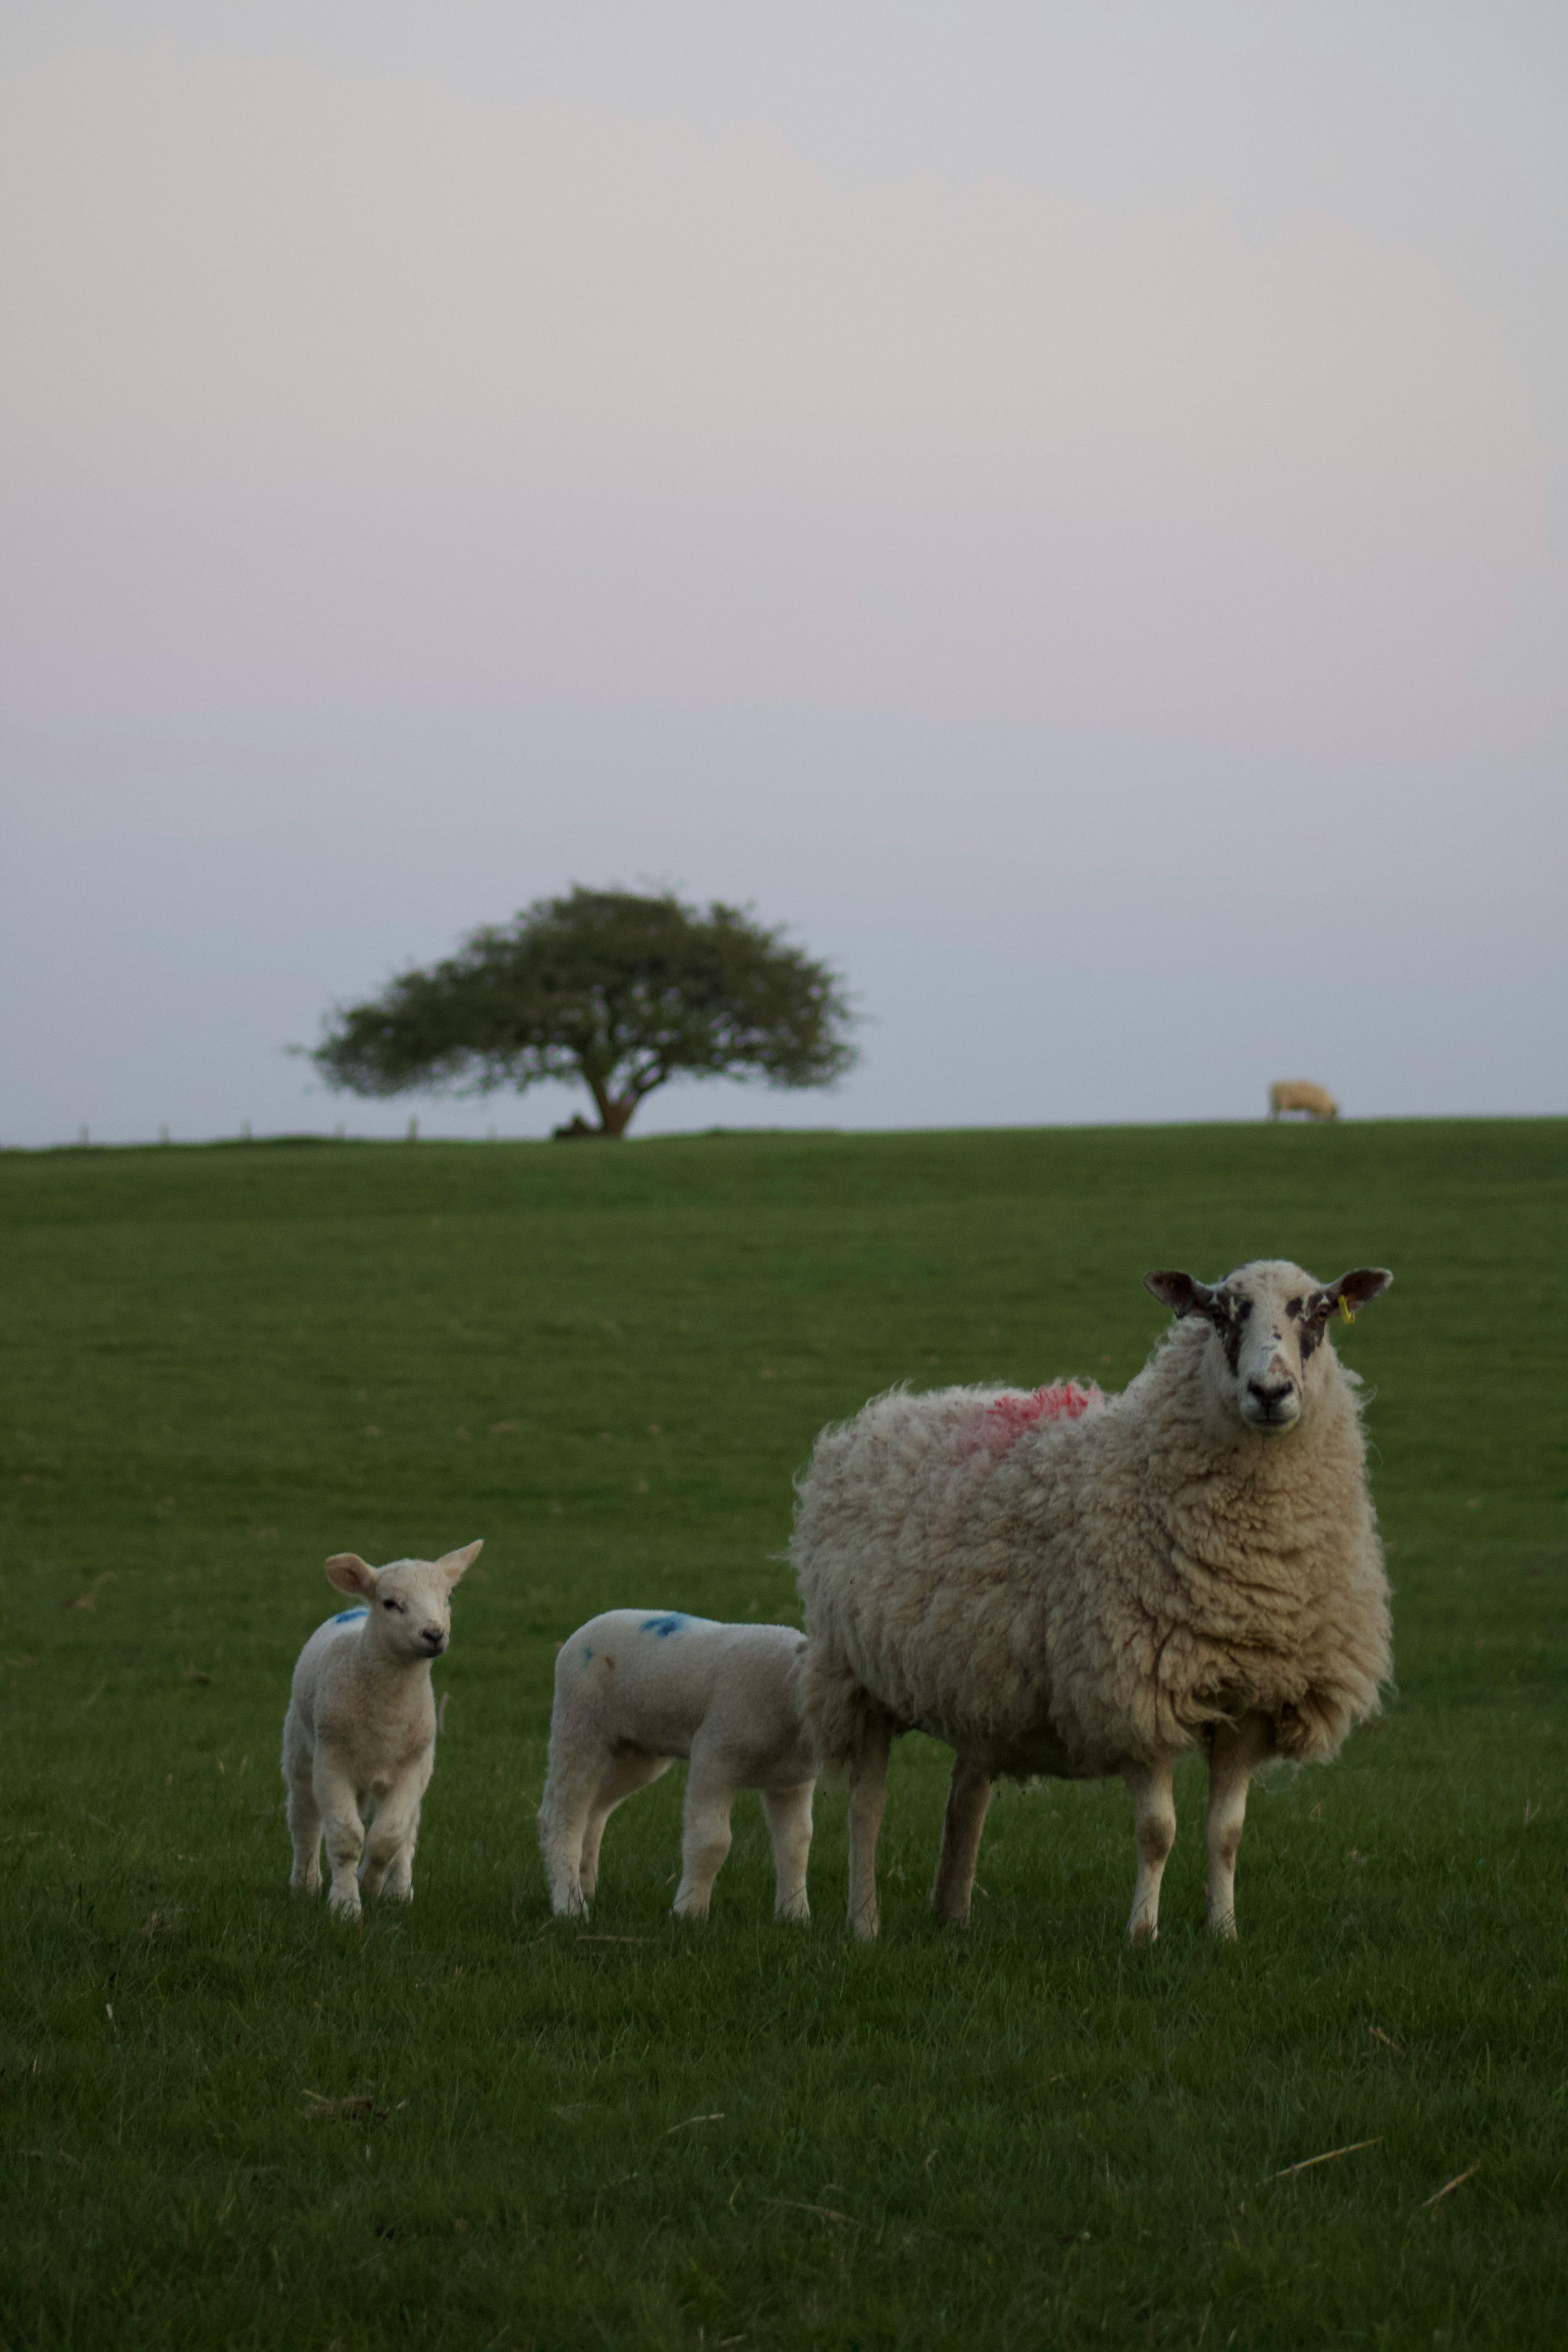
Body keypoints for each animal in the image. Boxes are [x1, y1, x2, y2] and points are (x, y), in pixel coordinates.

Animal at [282, 1540, 482, 1916]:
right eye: (391, 1603)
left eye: (448, 1597)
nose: (435, 1634)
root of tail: (355, 1611)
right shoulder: (332, 1764)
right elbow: (346, 1837)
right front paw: (345, 1905)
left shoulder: (411, 1767)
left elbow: (388, 1836)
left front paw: (369, 1885)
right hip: (300, 1750)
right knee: (304, 1819)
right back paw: (305, 1882)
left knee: (408, 1831)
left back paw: (400, 1891)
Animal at [538, 1611, 816, 1923]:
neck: (786, 1680)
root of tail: (585, 1629)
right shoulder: (713, 1756)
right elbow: (712, 1841)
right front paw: (690, 1912)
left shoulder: (792, 1781)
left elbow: (796, 1843)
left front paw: (794, 1915)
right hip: (579, 1725)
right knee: (563, 1814)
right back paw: (570, 1904)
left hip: (637, 1752)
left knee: (594, 1809)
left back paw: (584, 1886)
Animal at [791, 1263, 1392, 1944]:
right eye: (1218, 1312)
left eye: (1320, 1313)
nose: (1270, 1392)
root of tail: (882, 1414)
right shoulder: (1132, 1692)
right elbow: (1158, 1832)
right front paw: (1142, 1935)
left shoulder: (1255, 1702)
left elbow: (1227, 1833)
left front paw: (1224, 1932)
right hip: (854, 1676)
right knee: (866, 1806)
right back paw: (865, 1924)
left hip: (979, 1685)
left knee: (966, 1795)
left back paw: (953, 1916)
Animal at [1269, 1079, 1339, 1120]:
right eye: (1334, 1113)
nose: (1335, 1121)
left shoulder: (1311, 1107)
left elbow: (1312, 1116)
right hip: (1283, 1103)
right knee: (1280, 1114)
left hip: (1276, 1104)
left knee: (1274, 1113)